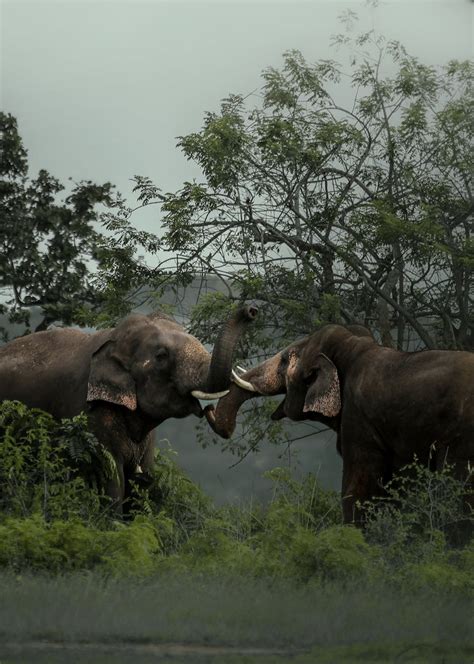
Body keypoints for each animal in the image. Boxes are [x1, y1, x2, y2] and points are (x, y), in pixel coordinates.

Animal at [0, 305, 258, 509]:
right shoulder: (89, 410)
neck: (111, 340)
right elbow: (113, 482)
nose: (251, 310)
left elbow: (142, 482)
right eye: (161, 356)